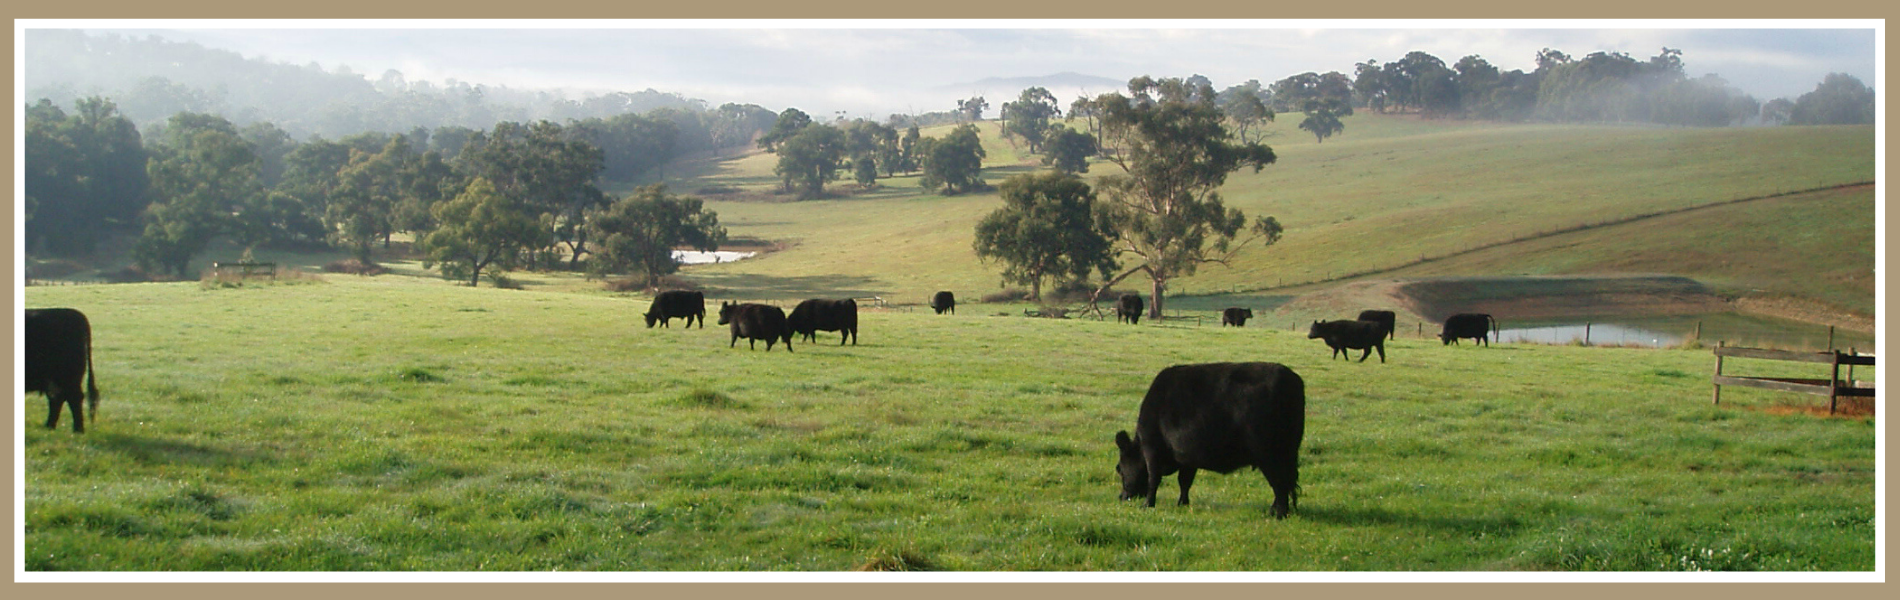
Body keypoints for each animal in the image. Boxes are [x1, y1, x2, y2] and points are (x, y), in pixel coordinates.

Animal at [1113, 362, 1305, 519]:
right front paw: (1183, 504)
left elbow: (1154, 478)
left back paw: (1279, 514)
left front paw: (1147, 505)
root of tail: (1292, 378)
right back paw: (1274, 511)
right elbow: (1185, 481)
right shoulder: (1187, 457)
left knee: (1280, 485)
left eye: (1120, 469)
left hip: (1271, 455)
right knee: (1283, 484)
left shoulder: (1152, 449)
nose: (1121, 497)